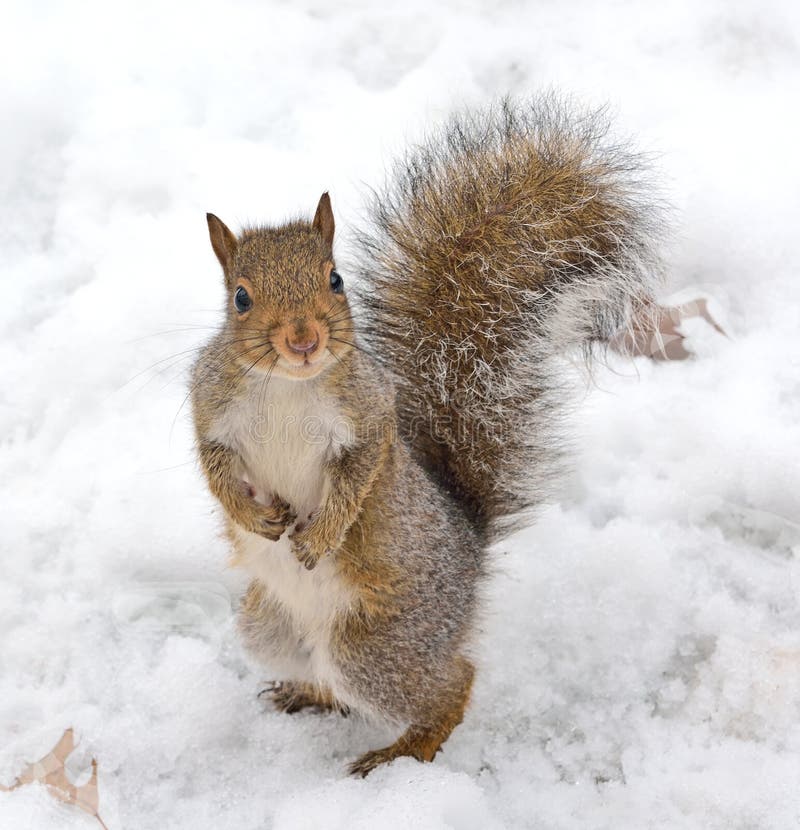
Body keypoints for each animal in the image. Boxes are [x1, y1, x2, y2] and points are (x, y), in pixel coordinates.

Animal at [190, 96, 664, 776]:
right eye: (241, 298)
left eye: (335, 280)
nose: (303, 339)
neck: (286, 388)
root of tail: (470, 545)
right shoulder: (211, 414)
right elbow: (216, 471)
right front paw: (252, 517)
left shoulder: (370, 418)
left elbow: (360, 476)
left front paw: (322, 535)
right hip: (268, 628)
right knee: (328, 676)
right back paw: (308, 692)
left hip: (378, 644)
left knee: (451, 682)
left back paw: (402, 751)